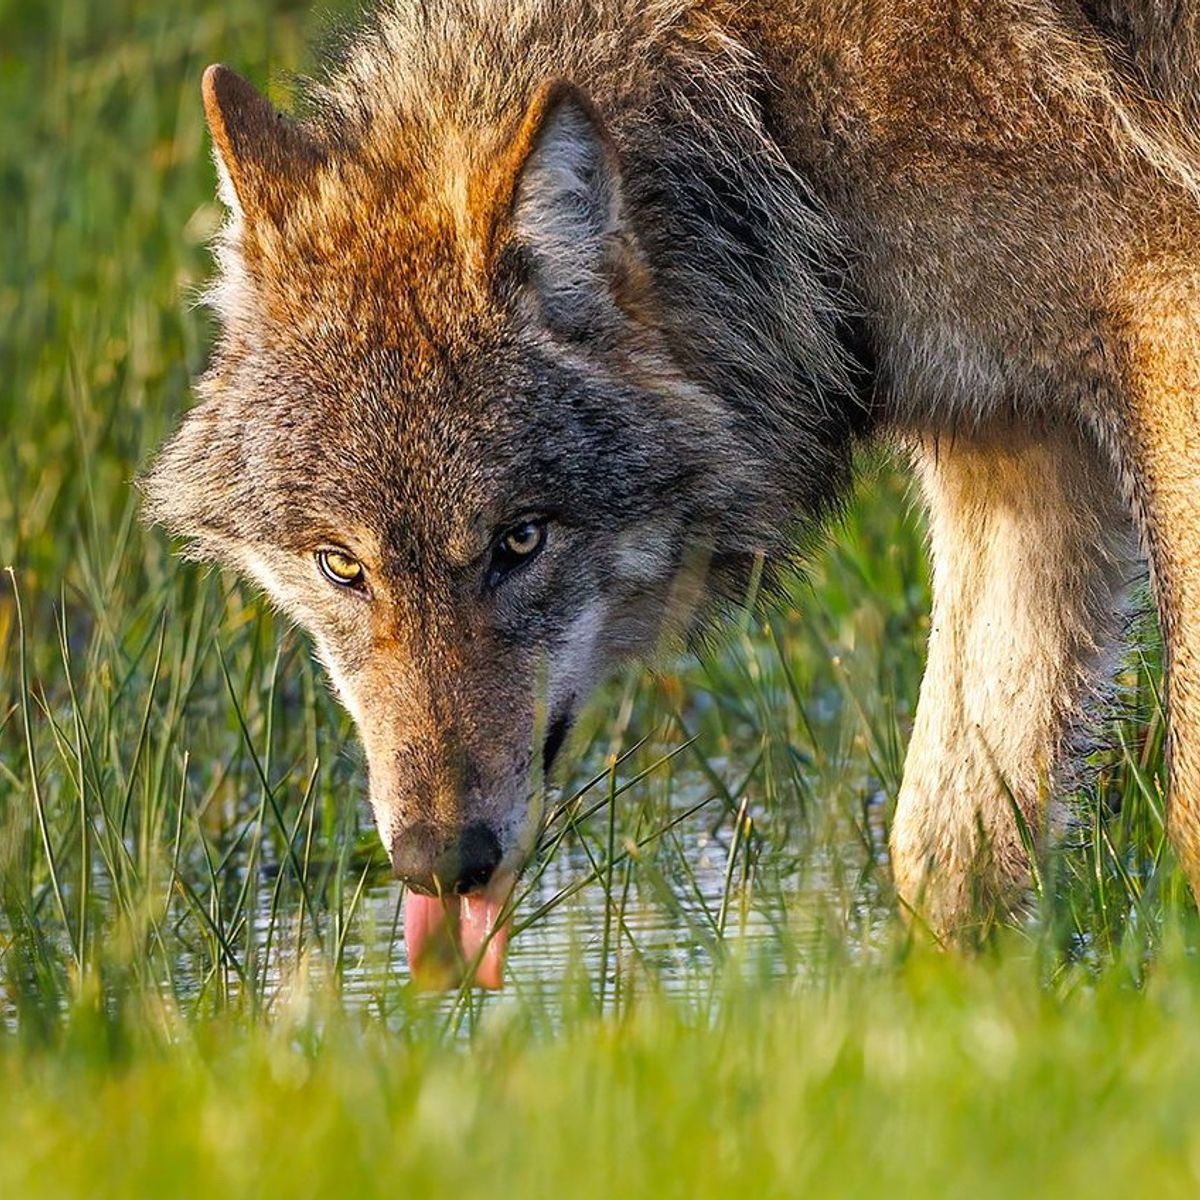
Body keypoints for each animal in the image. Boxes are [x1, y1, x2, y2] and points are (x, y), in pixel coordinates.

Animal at [144, 0, 1200, 981]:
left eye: (519, 540)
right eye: (341, 565)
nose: (440, 862)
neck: (771, 123)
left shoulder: (1163, 311)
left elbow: (1183, 805)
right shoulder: (1015, 444)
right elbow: (942, 854)